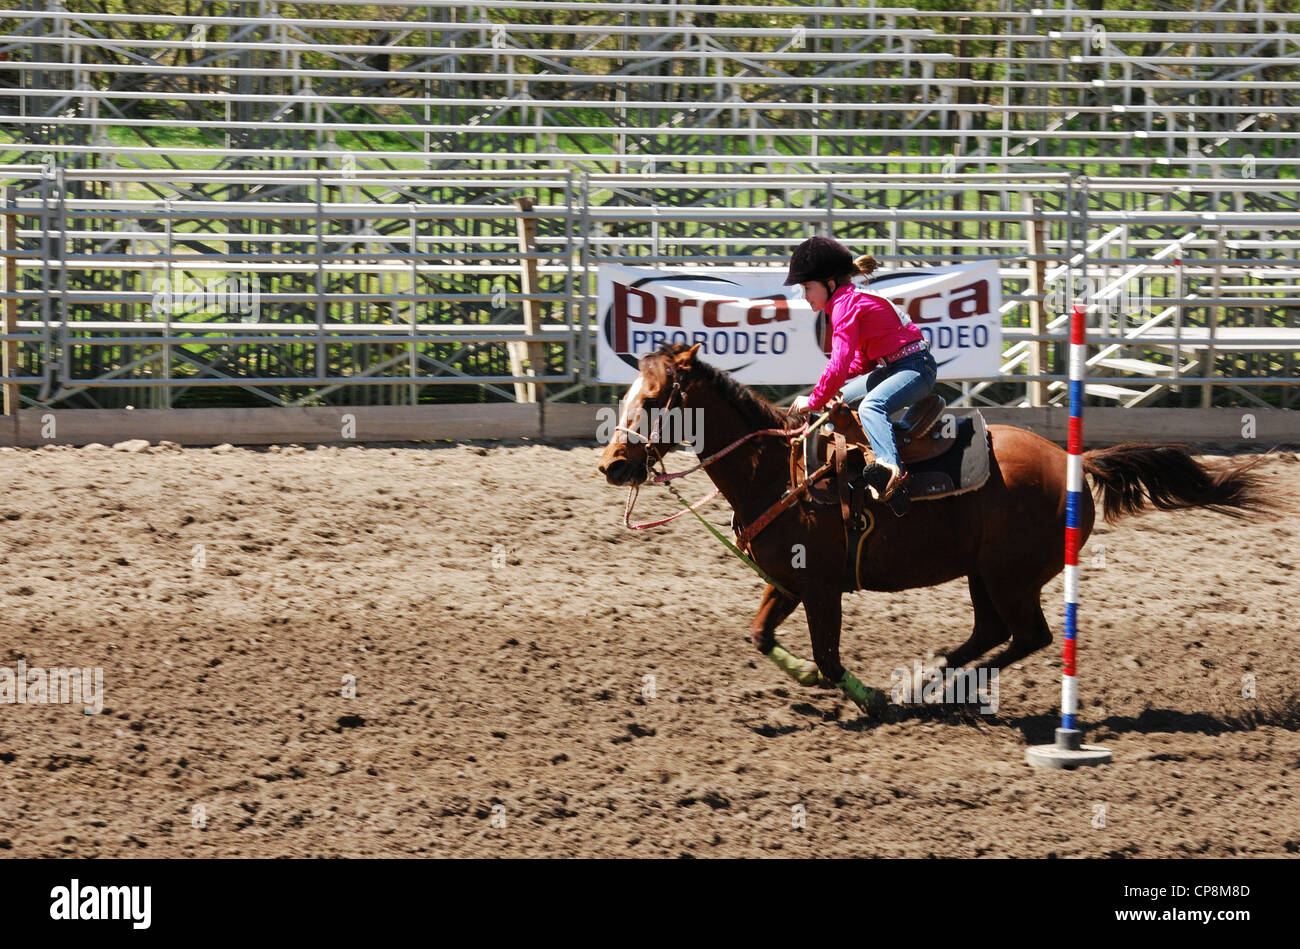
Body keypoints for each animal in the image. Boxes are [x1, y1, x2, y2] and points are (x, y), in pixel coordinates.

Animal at [597, 342, 1277, 718]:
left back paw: (937, 690)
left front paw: (866, 697)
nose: (613, 464)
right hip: (984, 574)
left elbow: (827, 654)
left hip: (1010, 575)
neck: (775, 469)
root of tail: (1076, 463)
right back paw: (928, 682)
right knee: (992, 633)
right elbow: (762, 637)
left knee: (1027, 636)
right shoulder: (786, 581)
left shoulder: (820, 588)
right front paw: (826, 682)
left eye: (655, 401)